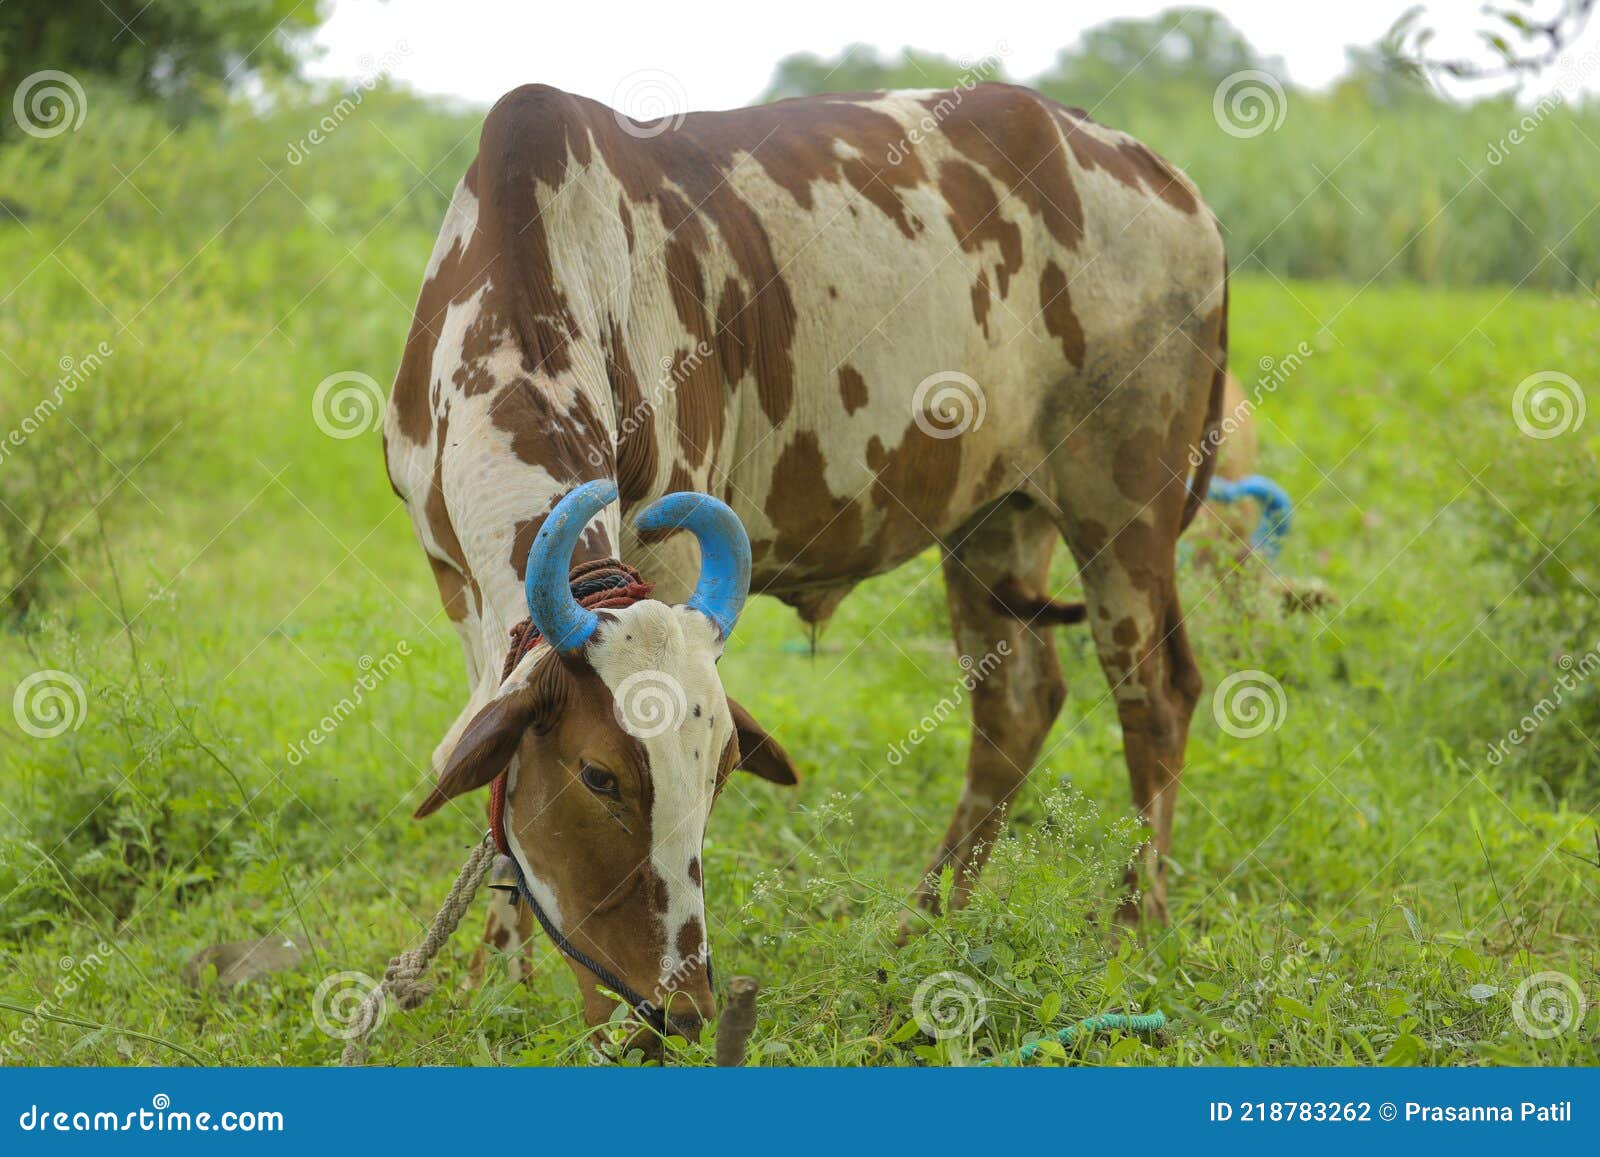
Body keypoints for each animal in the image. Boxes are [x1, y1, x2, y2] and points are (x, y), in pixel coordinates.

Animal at [383, 80, 1228, 1046]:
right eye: (598, 776)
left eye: (718, 771)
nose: (676, 1008)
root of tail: (1166, 178)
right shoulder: (458, 581)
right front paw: (499, 976)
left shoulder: (669, 554)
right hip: (994, 519)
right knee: (1017, 704)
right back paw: (925, 923)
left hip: (1124, 511)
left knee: (1156, 695)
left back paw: (1130, 932)